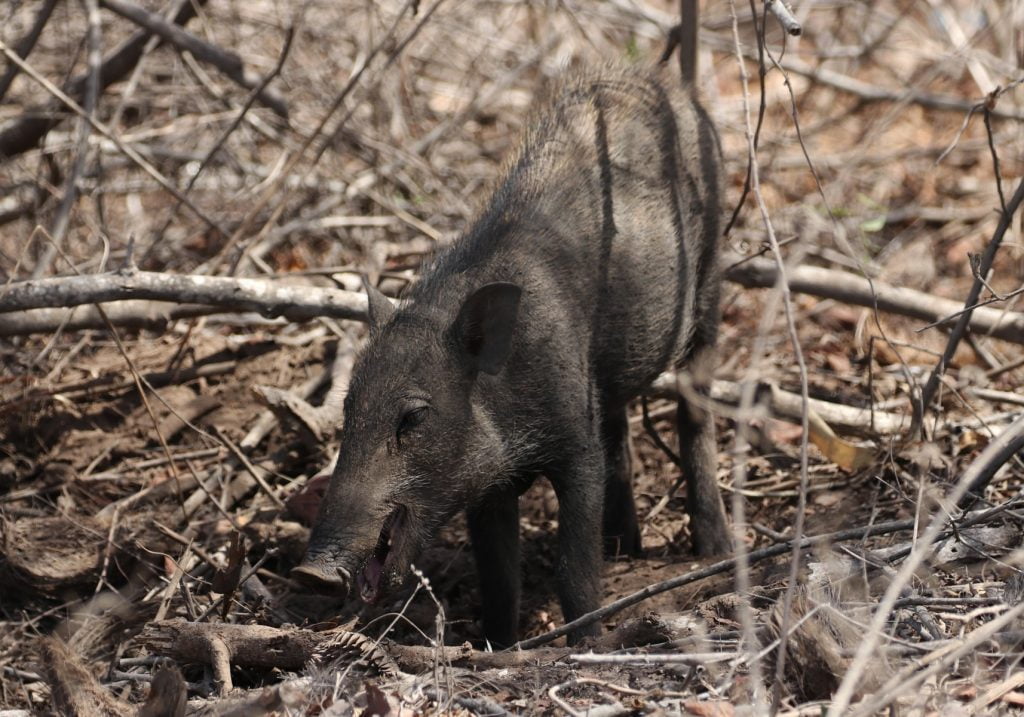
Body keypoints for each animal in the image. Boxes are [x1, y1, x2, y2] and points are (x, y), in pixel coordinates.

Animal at [292, 65, 730, 646]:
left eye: (414, 416)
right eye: (347, 411)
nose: (309, 572)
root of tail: (668, 86)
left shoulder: (575, 449)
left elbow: (573, 567)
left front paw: (585, 643)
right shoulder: (486, 486)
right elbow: (498, 576)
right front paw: (497, 645)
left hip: (711, 280)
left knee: (694, 410)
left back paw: (715, 552)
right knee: (619, 428)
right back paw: (625, 550)